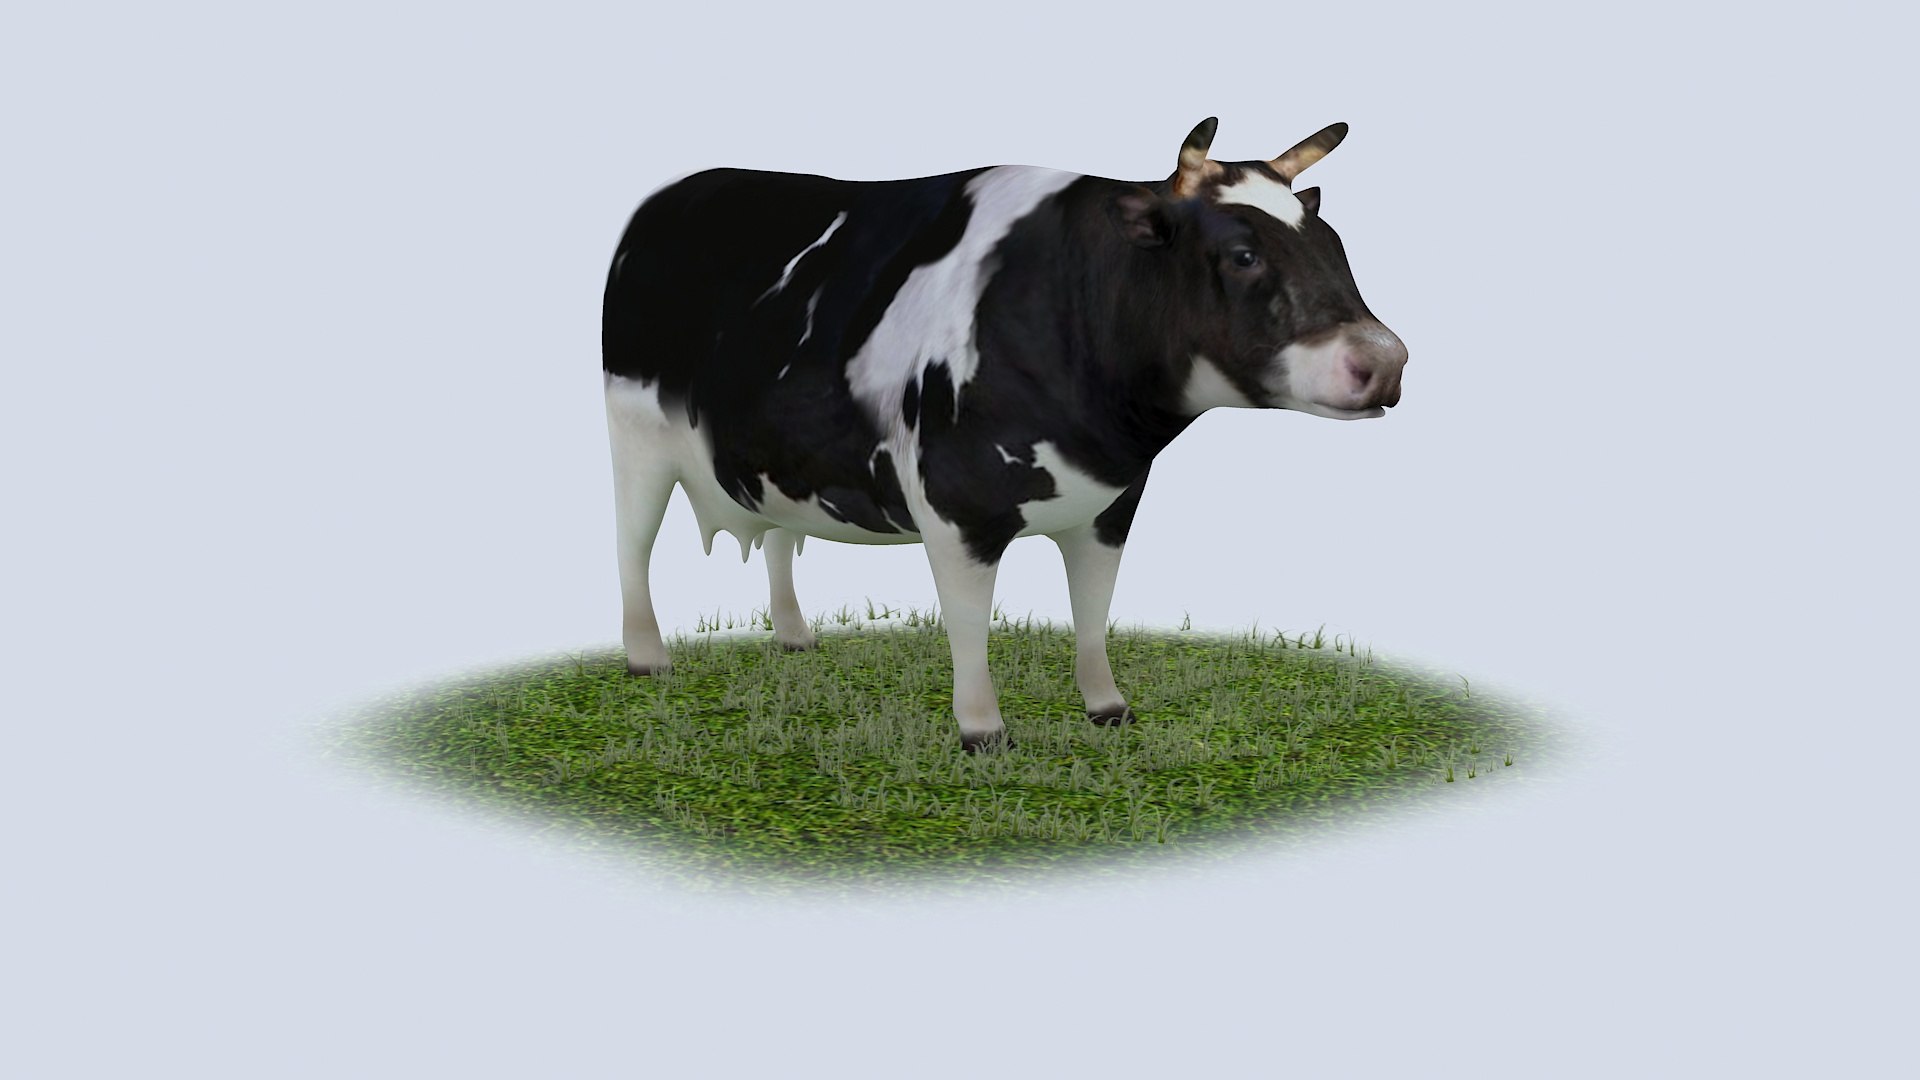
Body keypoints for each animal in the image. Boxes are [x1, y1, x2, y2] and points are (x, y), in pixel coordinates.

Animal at [601, 118, 1406, 752]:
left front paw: (1107, 707)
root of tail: (673, 194)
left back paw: (796, 637)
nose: (1386, 361)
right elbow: (968, 621)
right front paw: (982, 730)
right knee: (632, 547)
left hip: (778, 451)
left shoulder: (1112, 504)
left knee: (776, 533)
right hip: (634, 440)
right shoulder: (955, 504)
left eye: (1335, 246)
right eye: (1242, 255)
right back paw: (648, 659)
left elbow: (1093, 608)